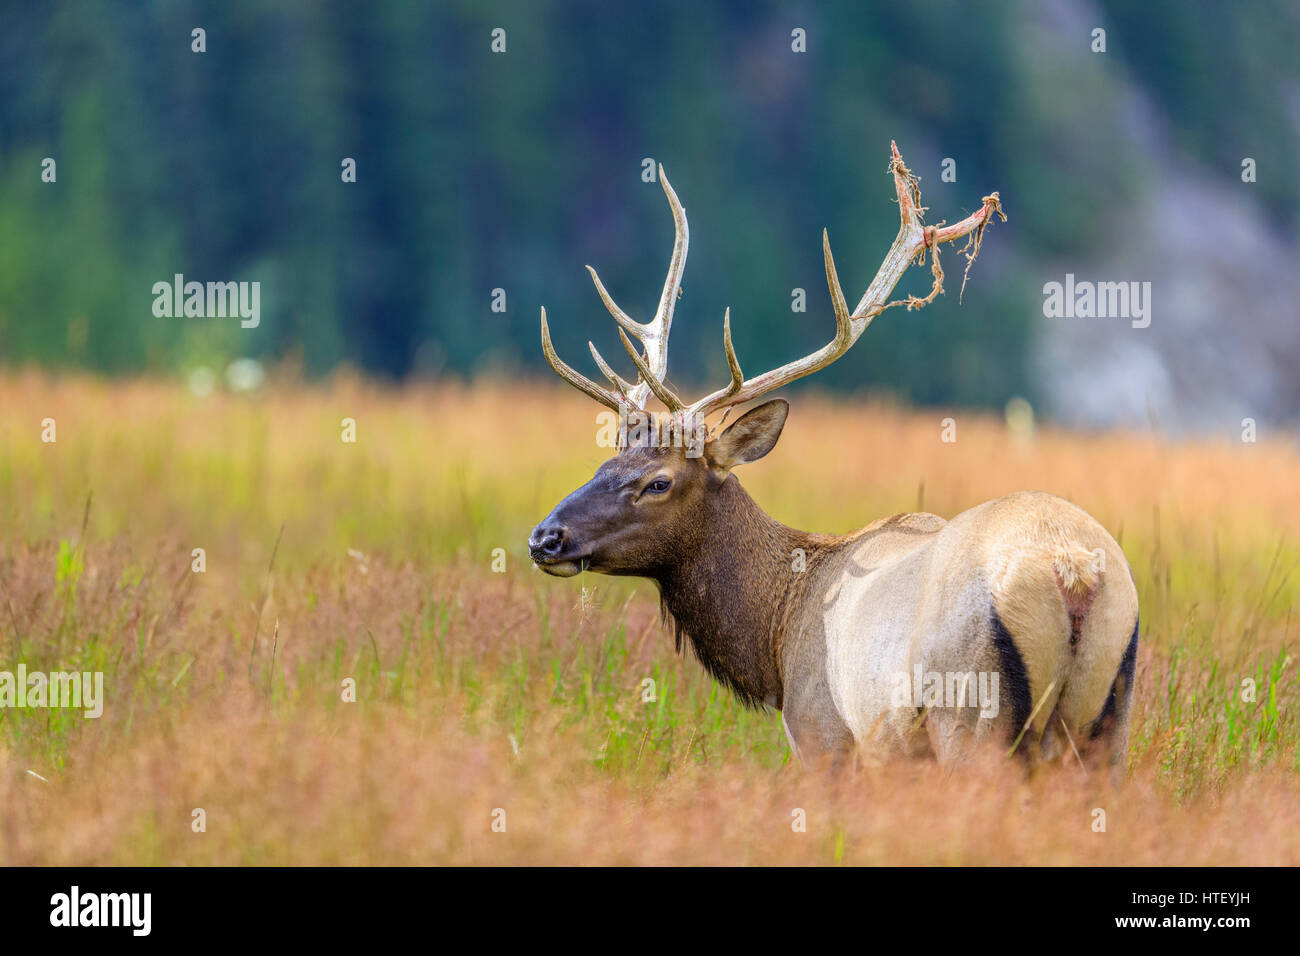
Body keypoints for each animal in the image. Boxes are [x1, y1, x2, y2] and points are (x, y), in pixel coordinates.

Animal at [529, 143, 1139, 774]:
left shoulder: (824, 737)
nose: (545, 537)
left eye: (657, 482)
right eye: (602, 467)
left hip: (970, 718)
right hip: (1105, 723)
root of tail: (1072, 572)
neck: (776, 638)